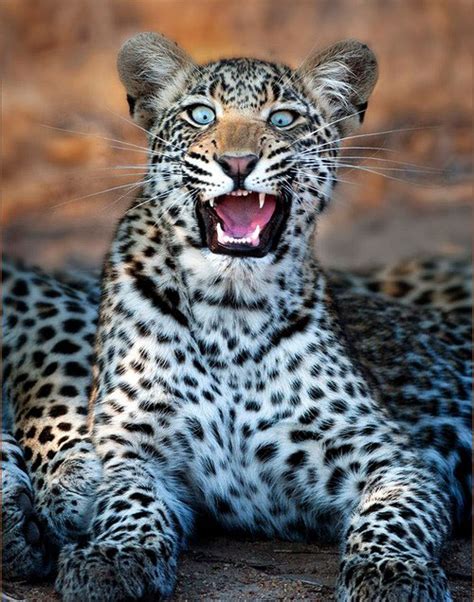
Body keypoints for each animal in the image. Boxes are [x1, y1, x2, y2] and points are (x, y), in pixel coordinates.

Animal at [1, 32, 472, 600]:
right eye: (201, 115)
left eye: (283, 119)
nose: (239, 163)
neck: (231, 312)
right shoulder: (137, 451)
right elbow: (128, 503)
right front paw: (113, 560)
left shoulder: (395, 460)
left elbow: (392, 517)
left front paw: (392, 573)